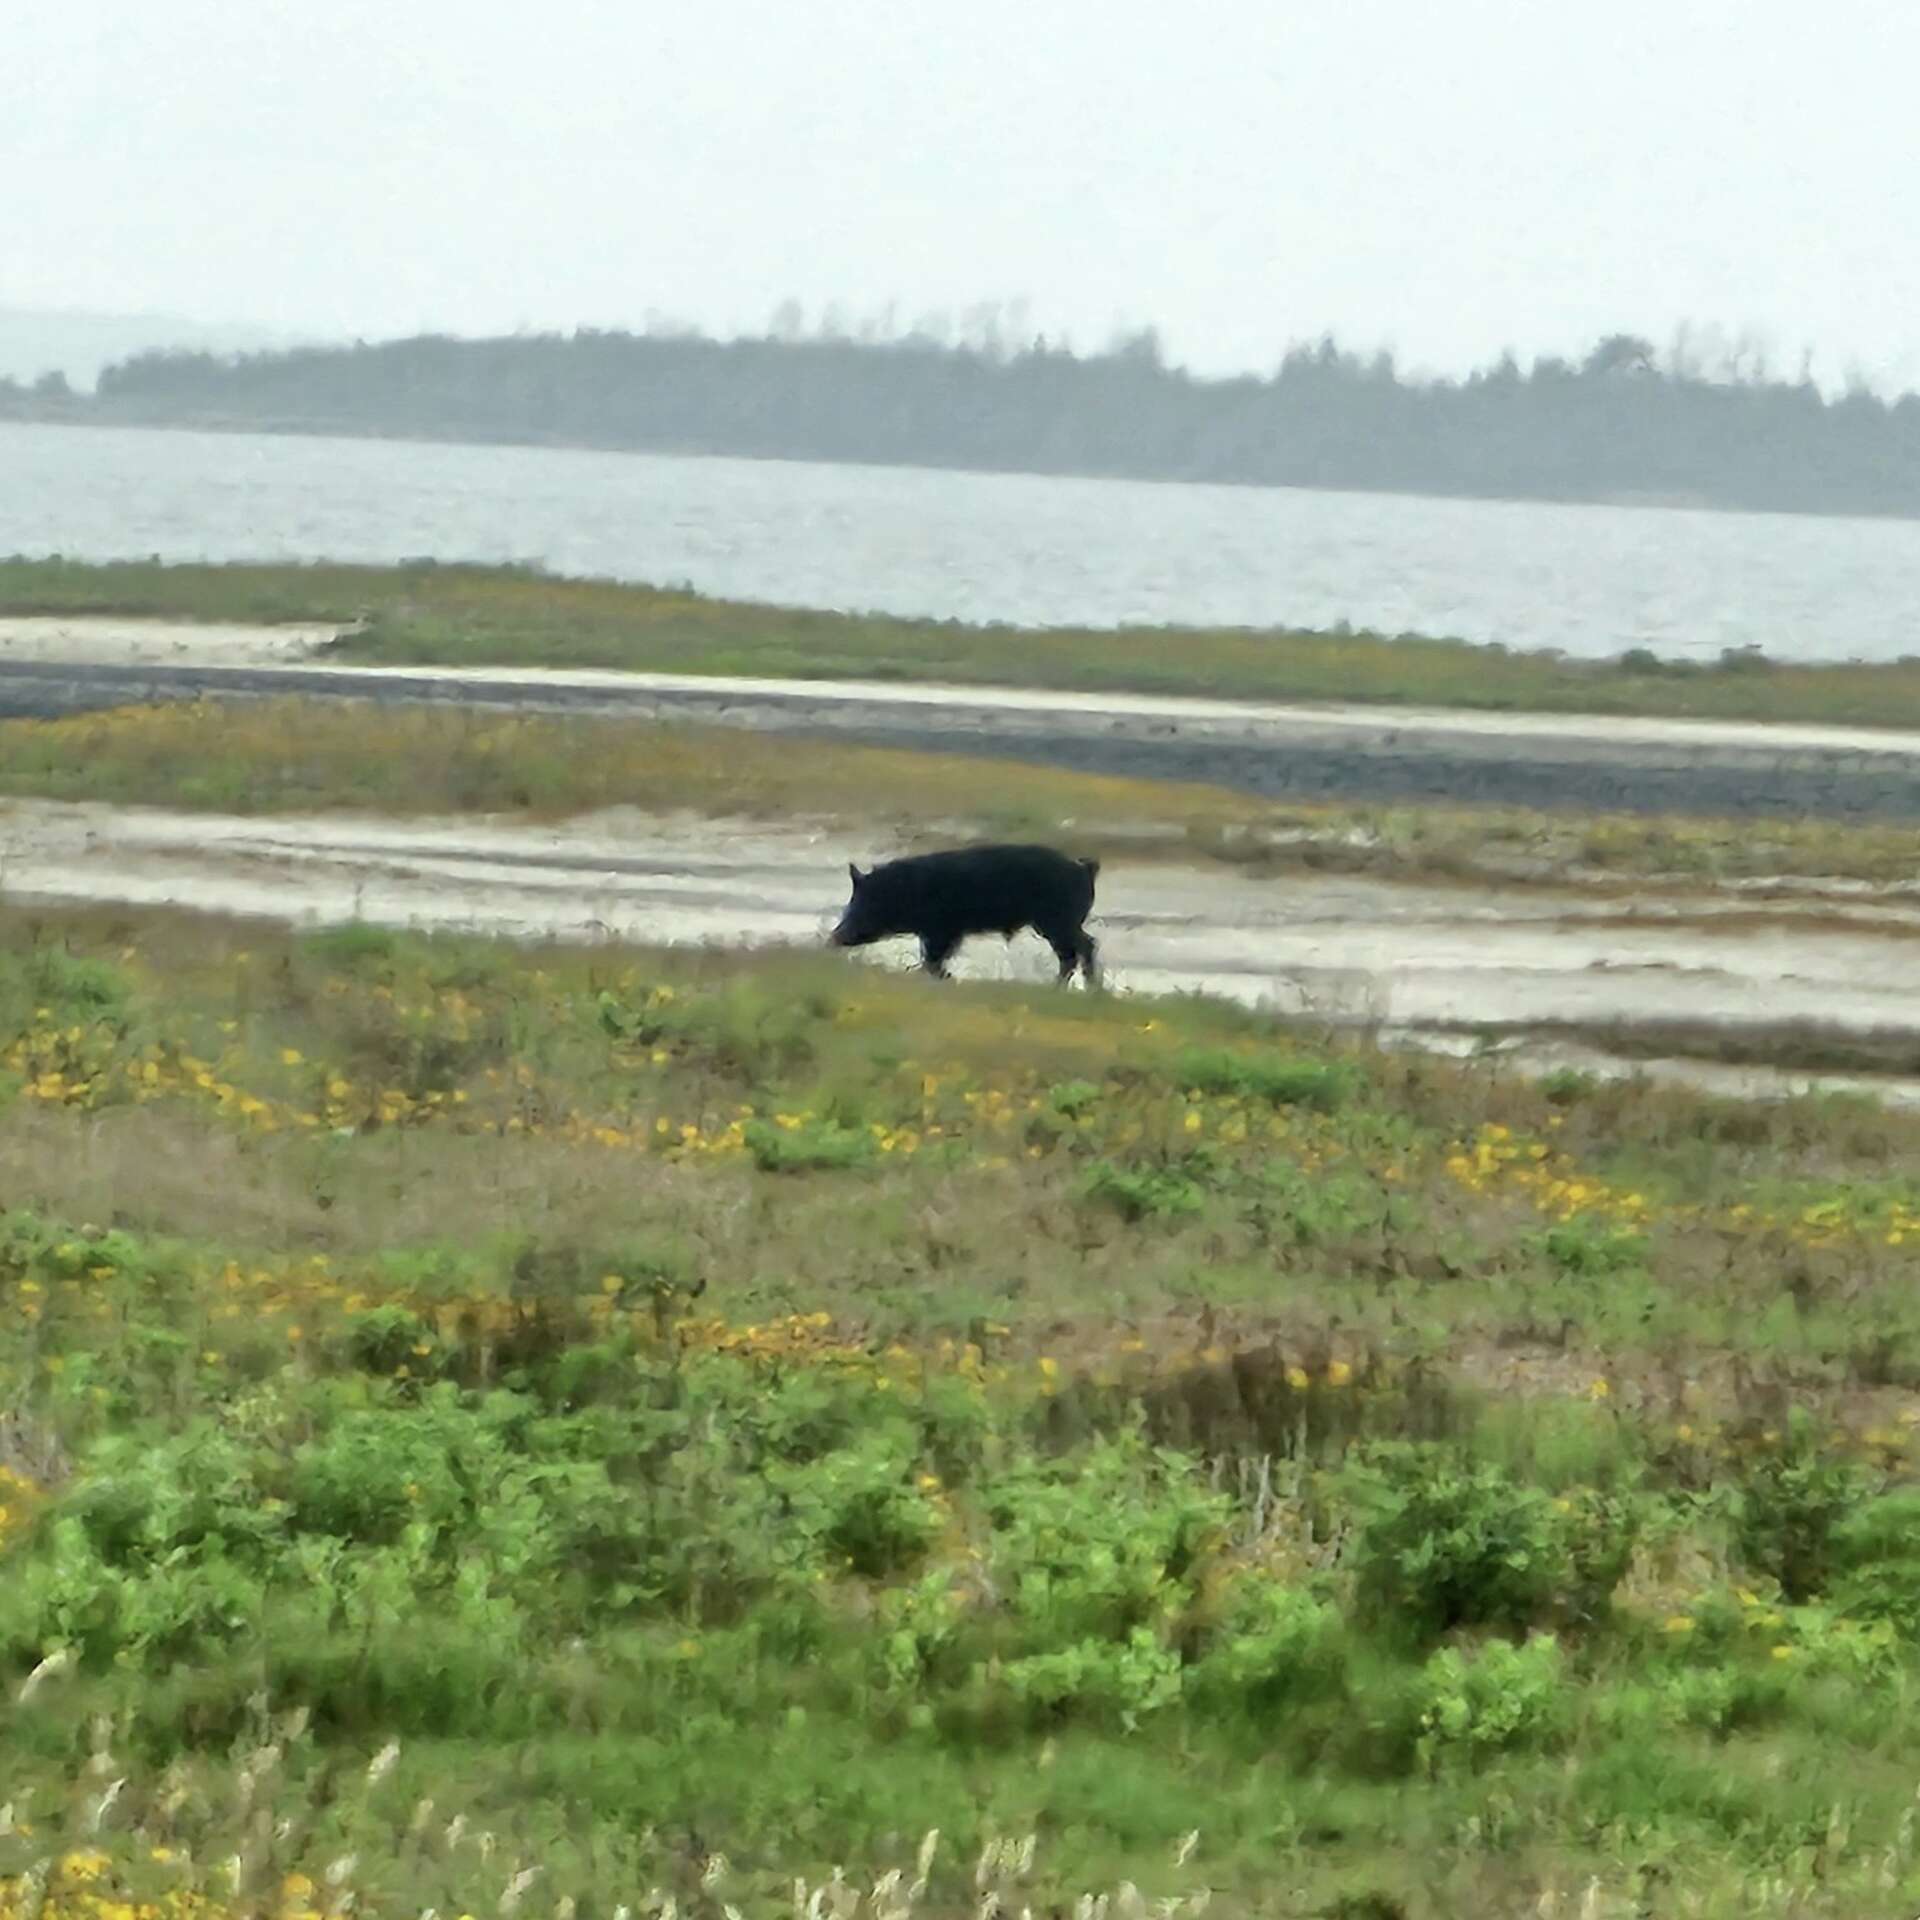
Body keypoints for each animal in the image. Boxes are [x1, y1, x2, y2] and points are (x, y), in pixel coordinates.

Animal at [829, 843, 1101, 985]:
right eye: (851, 902)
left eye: (869, 902)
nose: (833, 937)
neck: (907, 890)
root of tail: (1084, 869)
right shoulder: (939, 931)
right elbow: (933, 957)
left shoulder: (942, 929)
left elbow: (934, 957)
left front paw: (945, 977)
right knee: (1072, 952)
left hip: (1058, 921)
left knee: (1084, 946)